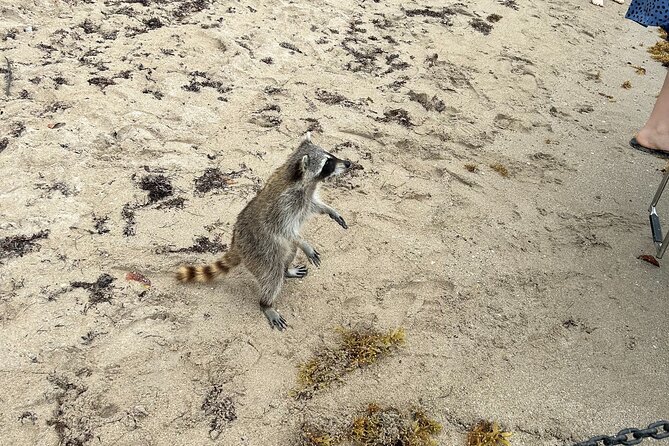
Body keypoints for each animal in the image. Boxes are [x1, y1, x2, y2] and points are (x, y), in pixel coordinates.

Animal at [176, 134, 351, 330]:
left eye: (331, 155)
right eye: (328, 163)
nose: (348, 163)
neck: (301, 180)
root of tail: (236, 243)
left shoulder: (306, 200)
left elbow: (315, 206)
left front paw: (330, 210)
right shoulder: (283, 207)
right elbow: (287, 230)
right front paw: (306, 245)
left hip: (277, 249)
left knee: (289, 253)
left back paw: (286, 270)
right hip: (260, 252)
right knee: (272, 276)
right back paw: (266, 303)